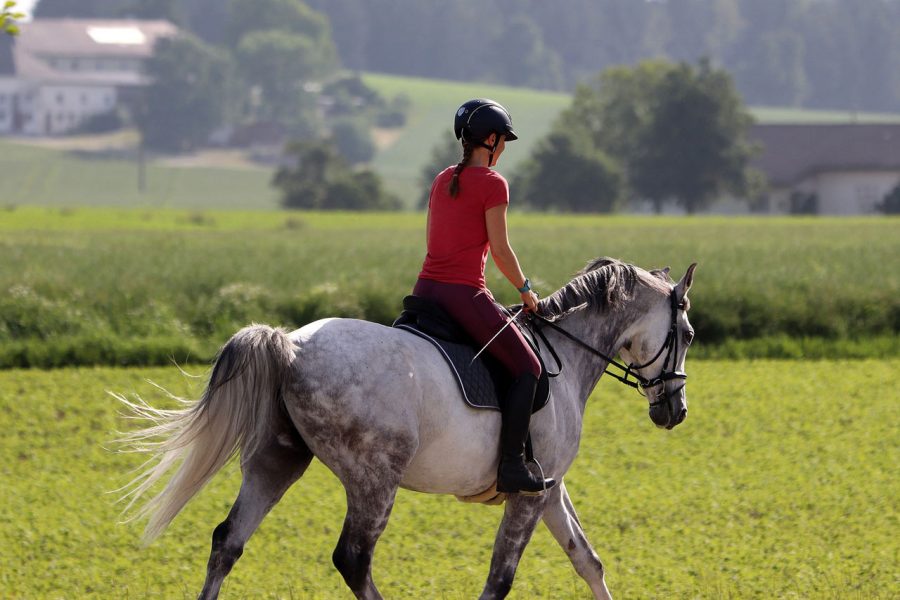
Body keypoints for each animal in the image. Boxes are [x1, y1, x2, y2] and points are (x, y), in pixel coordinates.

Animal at [117, 257, 696, 600]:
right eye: (688, 333)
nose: (675, 410)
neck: (567, 353)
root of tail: (291, 346)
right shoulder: (529, 495)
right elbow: (500, 579)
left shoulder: (548, 489)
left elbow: (587, 560)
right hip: (374, 480)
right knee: (353, 560)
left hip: (275, 462)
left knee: (227, 542)